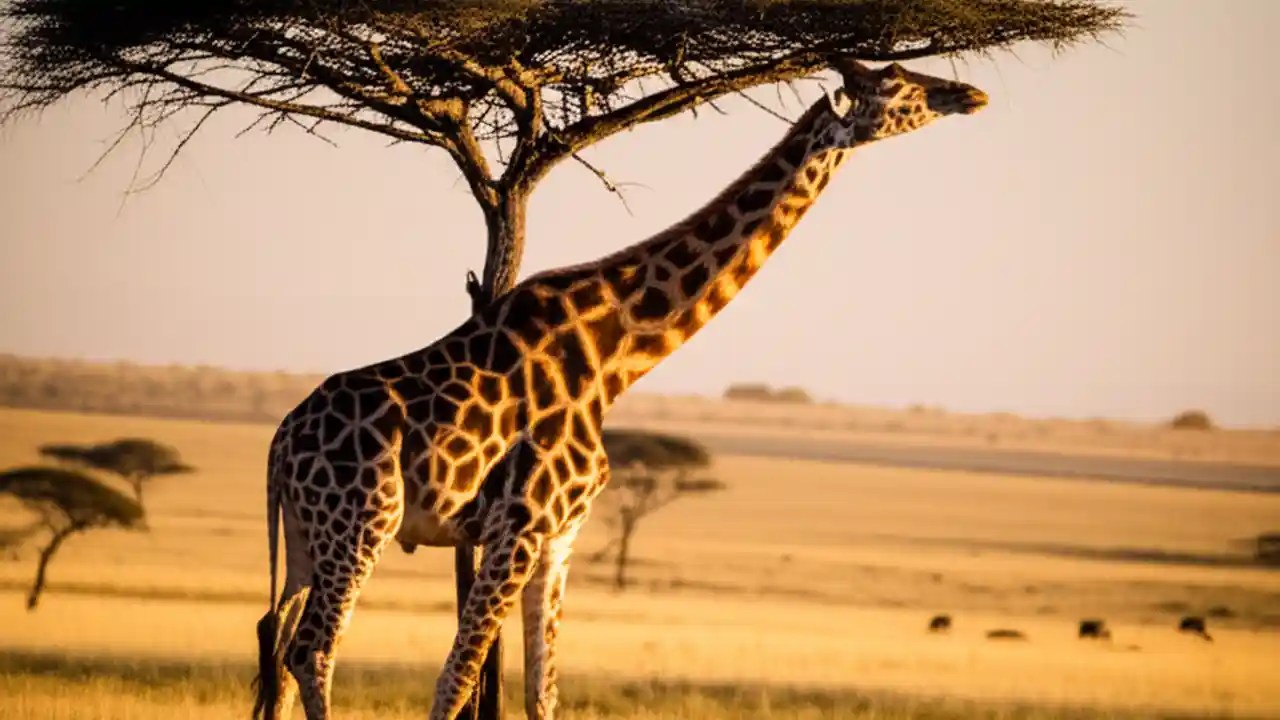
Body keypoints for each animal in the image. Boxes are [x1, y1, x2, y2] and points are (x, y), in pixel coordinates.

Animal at [252, 58, 988, 720]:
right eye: (899, 85)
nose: (970, 94)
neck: (619, 359)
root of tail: (281, 442)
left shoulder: (559, 536)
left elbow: (542, 691)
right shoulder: (519, 526)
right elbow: (457, 679)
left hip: (306, 535)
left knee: (277, 641)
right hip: (361, 523)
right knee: (312, 651)